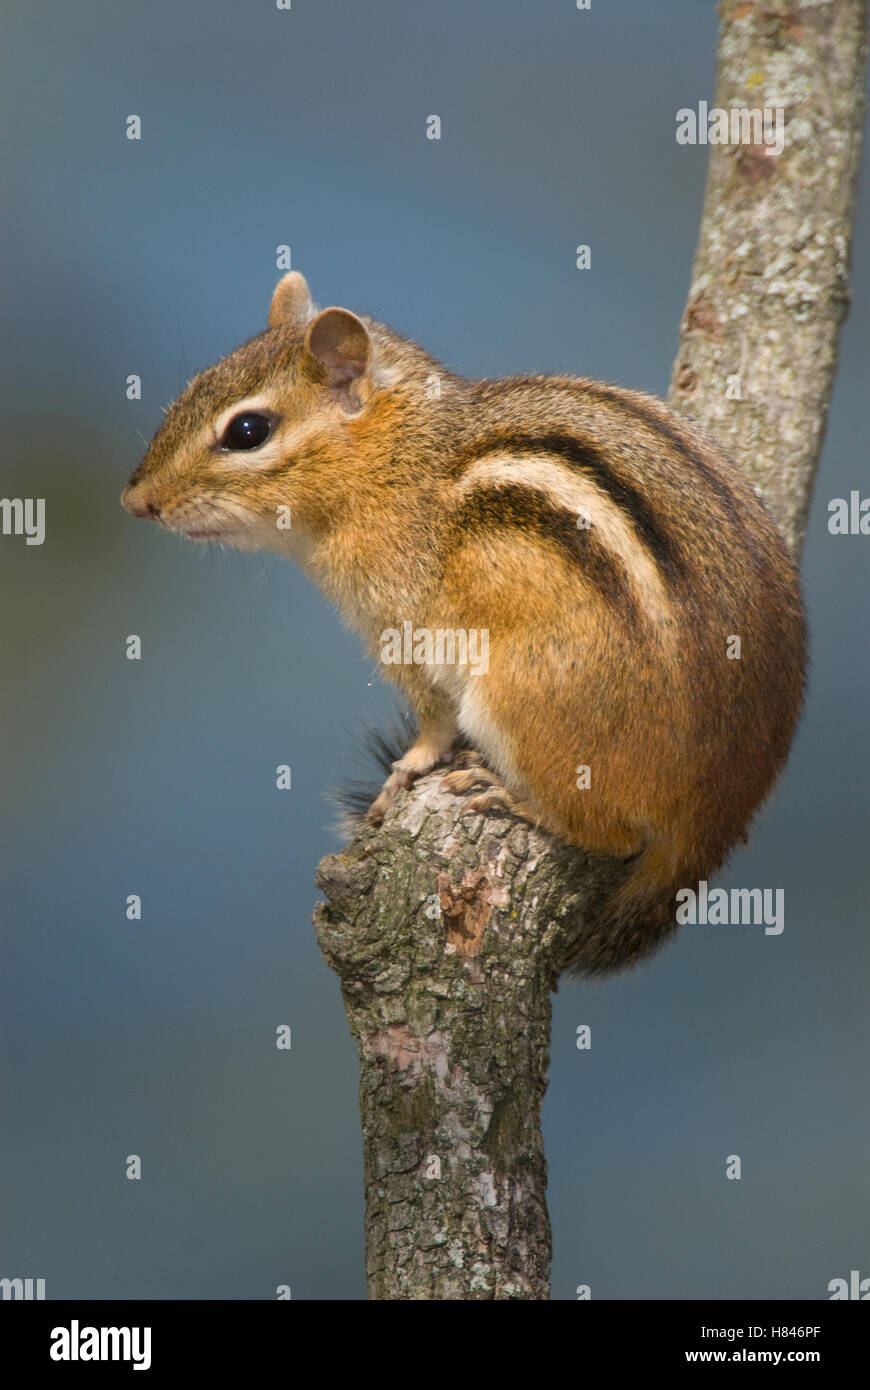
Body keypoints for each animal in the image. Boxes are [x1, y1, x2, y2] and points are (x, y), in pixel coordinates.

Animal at [122, 271, 807, 974]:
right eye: (195, 387)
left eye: (247, 431)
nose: (135, 501)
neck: (392, 461)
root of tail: (717, 811)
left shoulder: (405, 627)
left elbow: (432, 717)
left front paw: (407, 768)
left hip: (521, 701)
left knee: (611, 836)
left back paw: (513, 797)